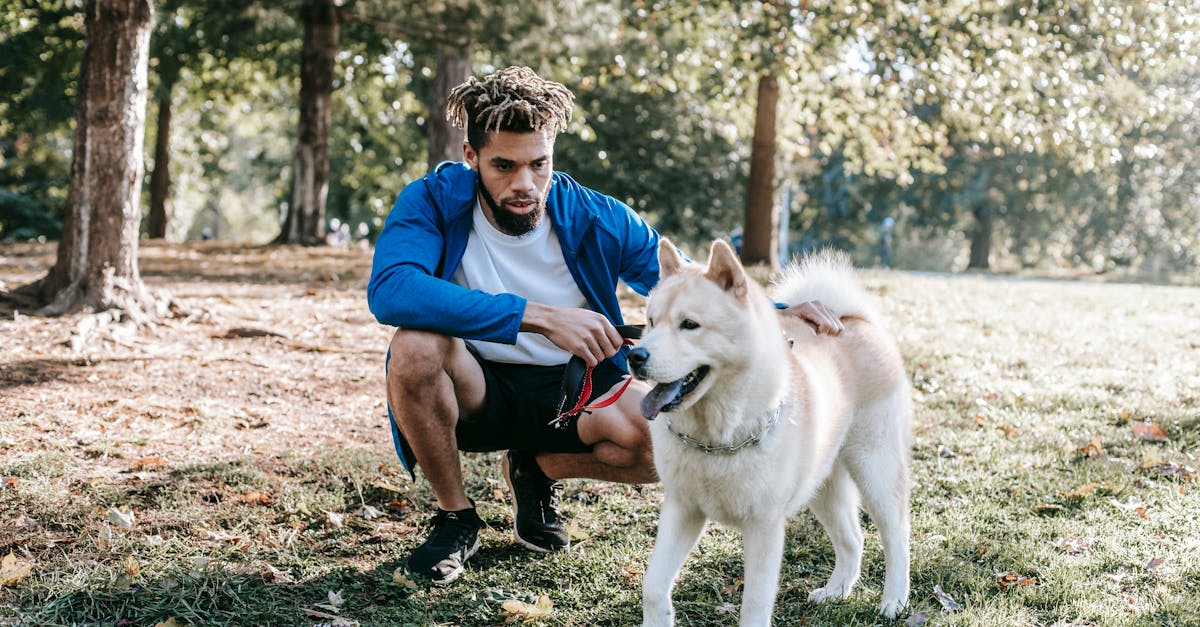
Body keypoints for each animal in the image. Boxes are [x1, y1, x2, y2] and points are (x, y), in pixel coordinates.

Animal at [628, 236, 907, 619]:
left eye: (689, 325)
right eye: (651, 322)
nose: (634, 356)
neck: (716, 437)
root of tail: (853, 320)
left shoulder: (764, 526)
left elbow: (755, 604)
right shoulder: (683, 510)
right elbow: (653, 588)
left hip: (874, 470)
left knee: (896, 536)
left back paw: (895, 600)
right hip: (822, 487)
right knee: (853, 539)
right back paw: (836, 591)